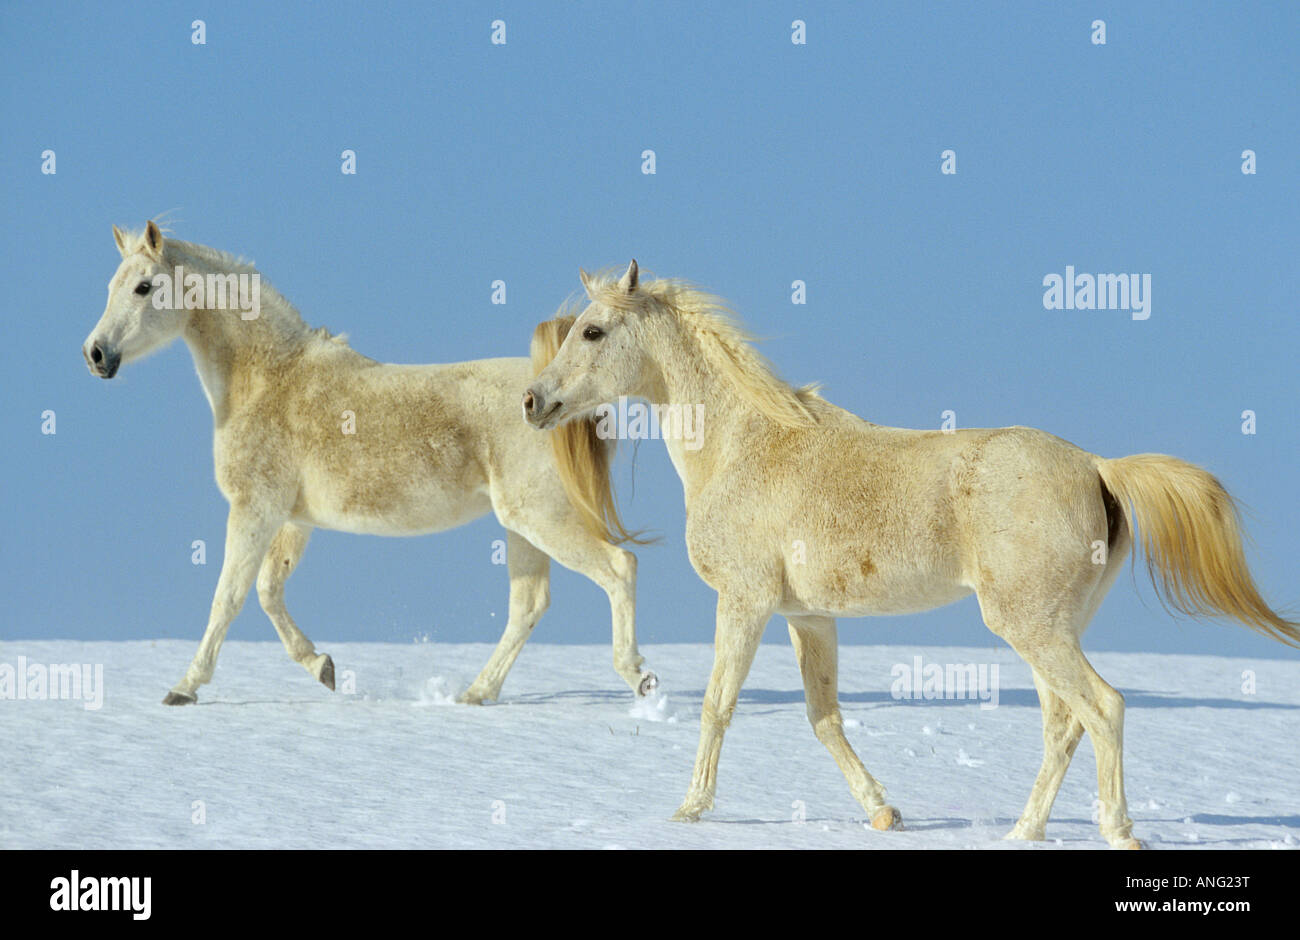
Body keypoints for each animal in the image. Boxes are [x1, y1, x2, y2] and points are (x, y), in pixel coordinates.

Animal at [81, 222, 657, 706]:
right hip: (521, 527)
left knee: (617, 569)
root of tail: (562, 401)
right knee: (529, 605)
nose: (96, 354)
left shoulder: (254, 510)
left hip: (539, 518)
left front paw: (183, 688)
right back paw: (475, 694)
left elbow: (228, 598)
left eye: (143, 287)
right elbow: (268, 592)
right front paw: (322, 667)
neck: (268, 380)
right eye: (112, 284)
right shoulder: (292, 519)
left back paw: (638, 677)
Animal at [523, 260, 1299, 849]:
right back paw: (1023, 833)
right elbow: (824, 718)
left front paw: (687, 812)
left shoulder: (745, 601)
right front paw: (883, 812)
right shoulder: (808, 617)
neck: (744, 446)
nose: (533, 402)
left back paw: (1119, 831)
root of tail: (1098, 468)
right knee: (1063, 722)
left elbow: (718, 705)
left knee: (1102, 708)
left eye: (593, 330)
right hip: (1047, 629)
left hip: (1032, 627)